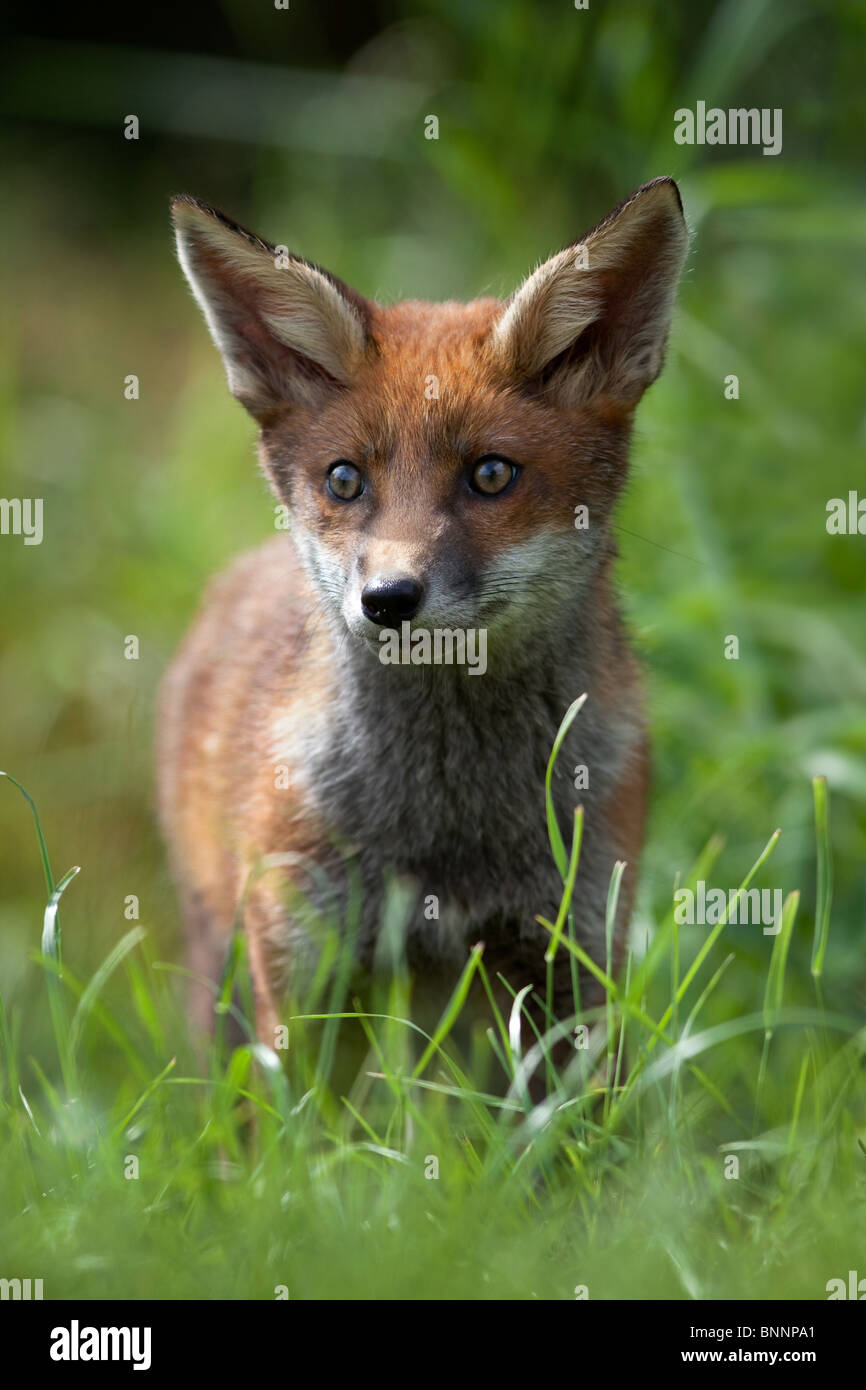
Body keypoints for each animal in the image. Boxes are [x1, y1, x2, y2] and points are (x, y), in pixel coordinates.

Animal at [158, 177, 689, 1063]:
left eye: (491, 474)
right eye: (344, 480)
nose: (388, 598)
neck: (447, 825)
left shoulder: (573, 960)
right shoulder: (305, 976)